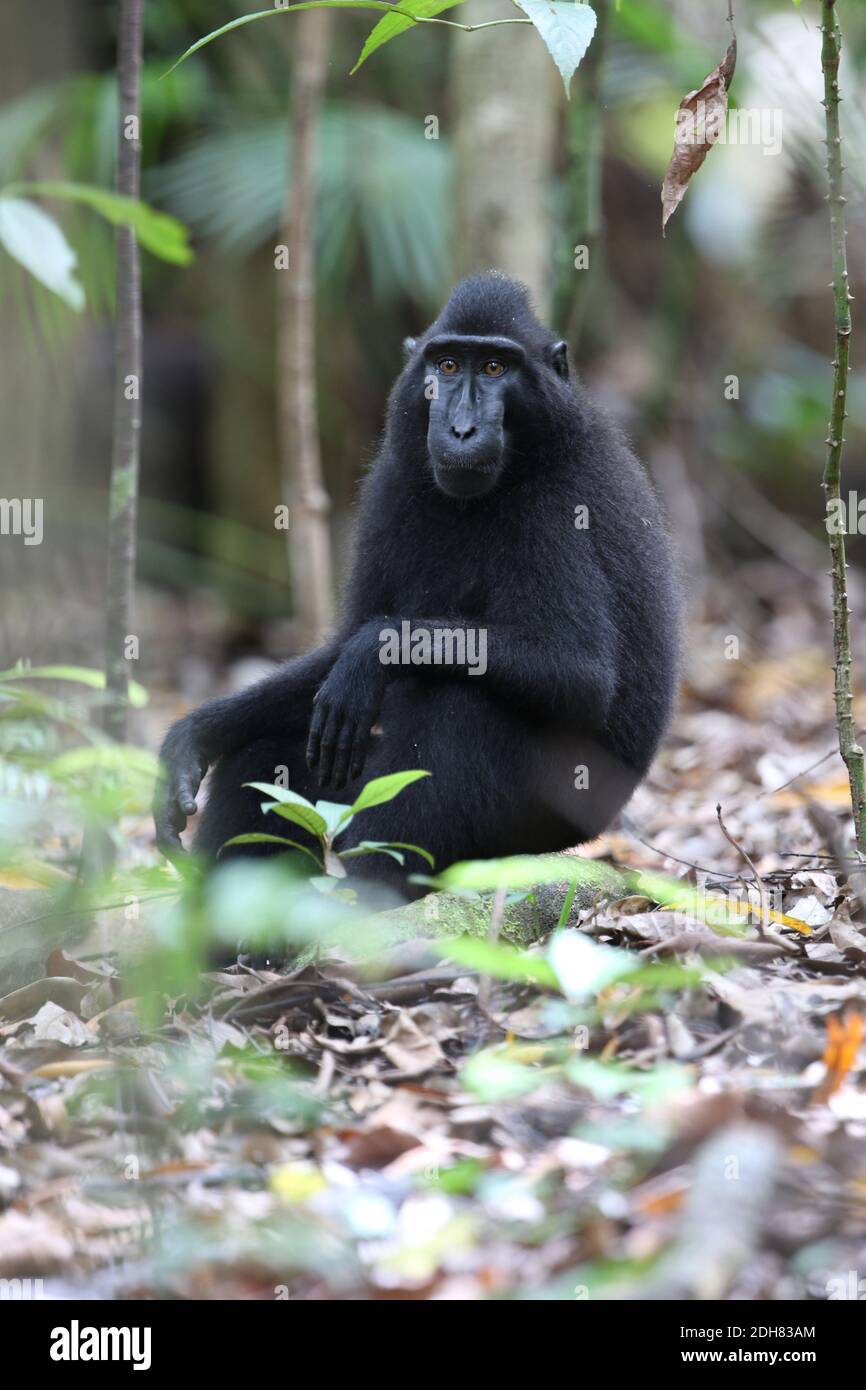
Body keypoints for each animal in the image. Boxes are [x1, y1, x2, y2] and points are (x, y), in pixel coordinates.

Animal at [154, 272, 680, 894]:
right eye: (447, 365)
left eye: (496, 368)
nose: (461, 428)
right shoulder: (390, 483)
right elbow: (338, 647)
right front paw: (195, 735)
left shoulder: (556, 508)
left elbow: (580, 672)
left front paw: (369, 655)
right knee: (272, 748)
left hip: (538, 827)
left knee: (458, 694)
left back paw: (370, 894)